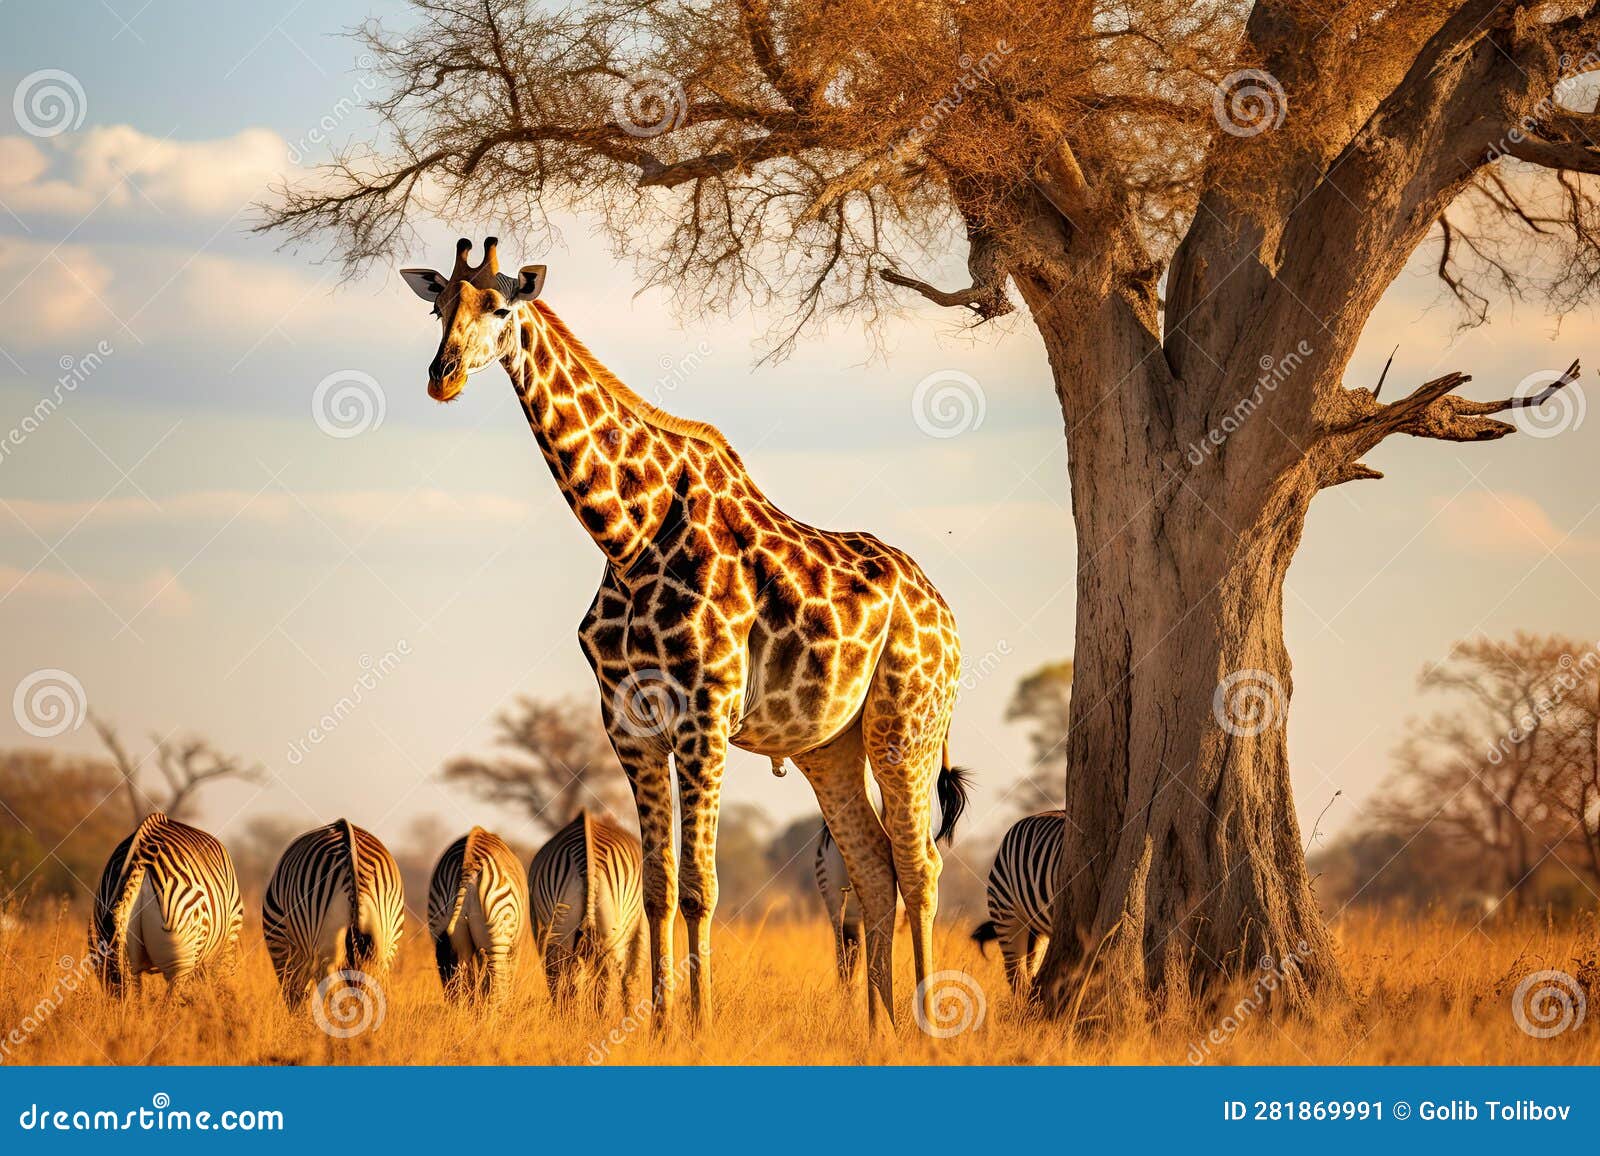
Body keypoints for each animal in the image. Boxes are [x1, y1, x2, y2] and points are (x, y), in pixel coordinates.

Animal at [429, 826, 529, 1005]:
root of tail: (467, 872)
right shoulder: (517, 946)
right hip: (498, 939)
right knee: (497, 986)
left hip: (448, 932)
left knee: (459, 989)